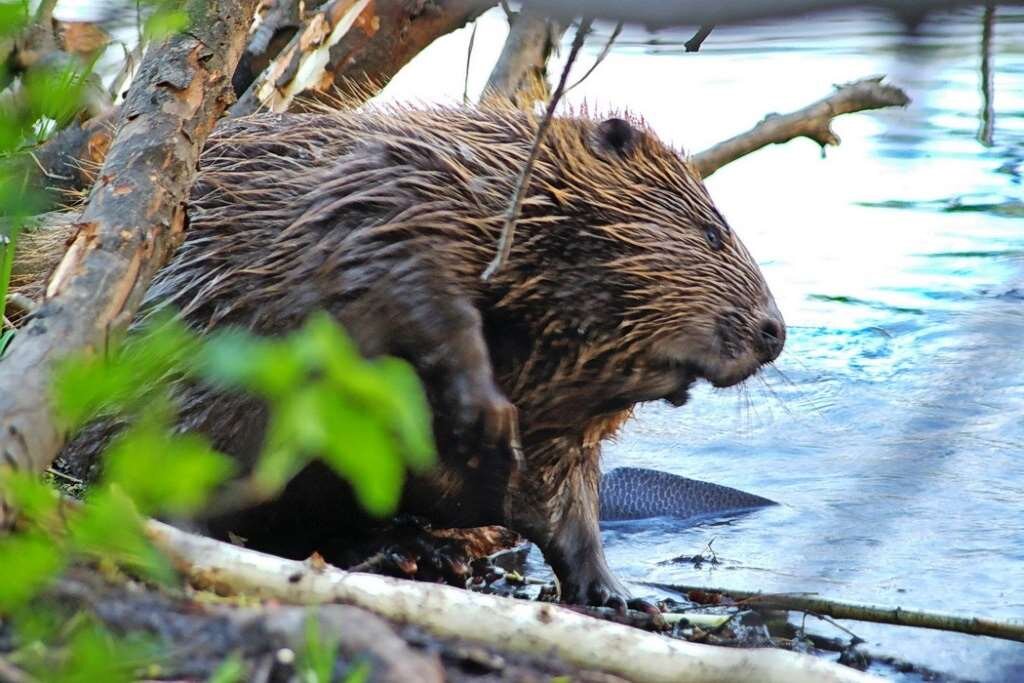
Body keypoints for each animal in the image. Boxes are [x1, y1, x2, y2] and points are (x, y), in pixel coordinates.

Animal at [34, 107, 782, 610]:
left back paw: (424, 552)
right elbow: (410, 291)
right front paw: (487, 416)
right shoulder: (394, 199)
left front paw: (620, 593)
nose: (774, 331)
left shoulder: (564, 426)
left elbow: (564, 504)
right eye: (712, 234)